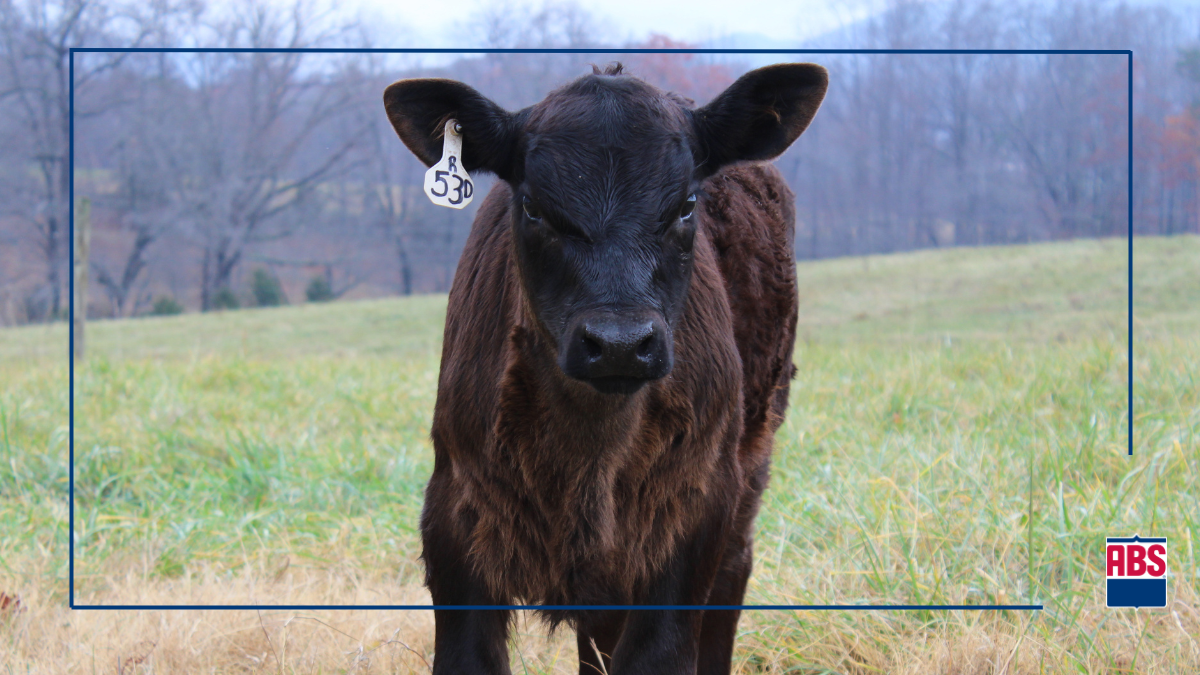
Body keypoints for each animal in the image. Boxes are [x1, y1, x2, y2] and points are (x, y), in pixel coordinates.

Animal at [383, 61, 827, 674]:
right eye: (534, 207)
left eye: (686, 205)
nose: (619, 344)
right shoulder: (453, 511)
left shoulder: (695, 509)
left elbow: (658, 653)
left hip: (751, 459)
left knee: (732, 576)